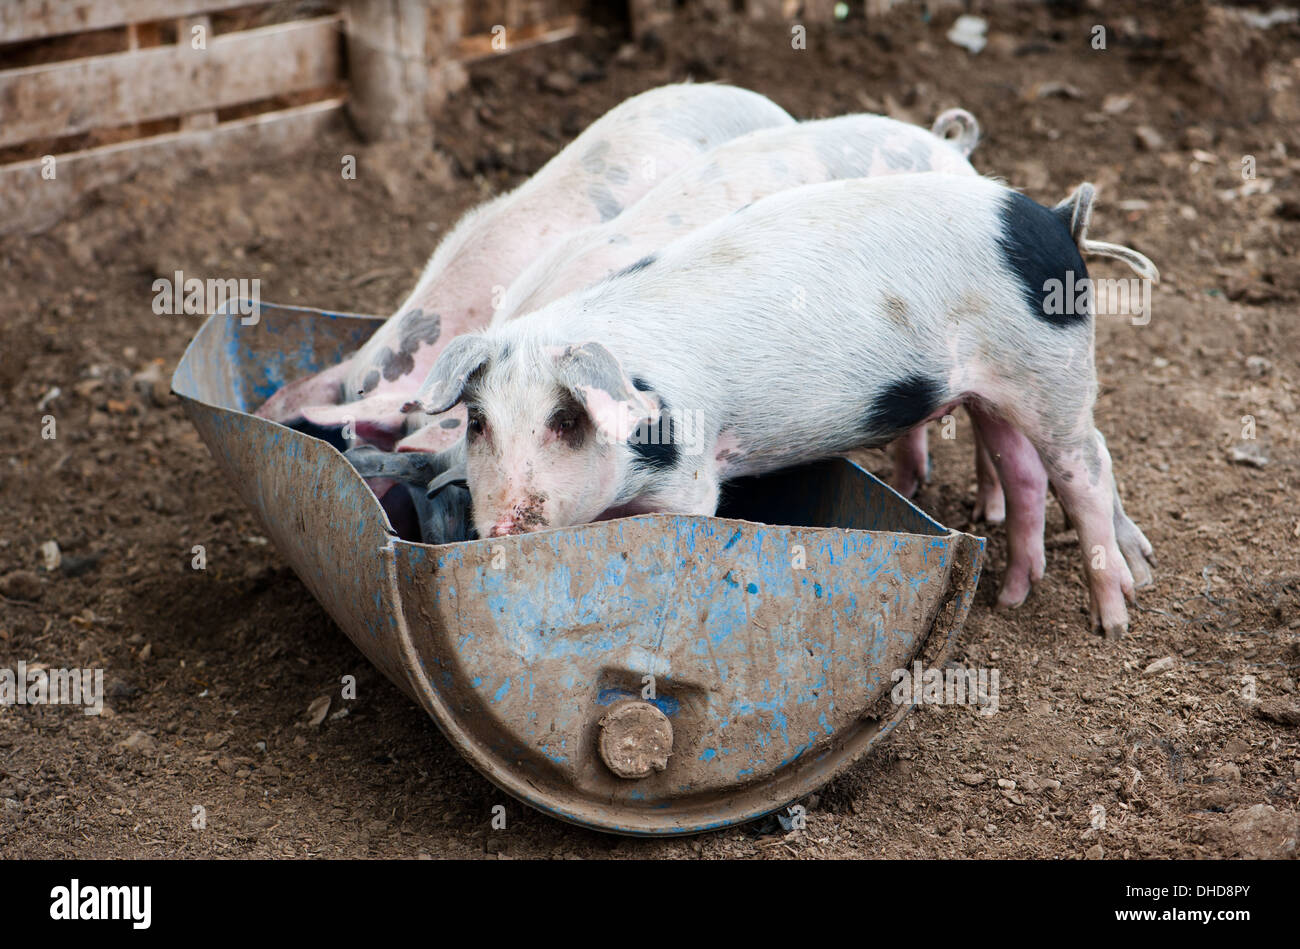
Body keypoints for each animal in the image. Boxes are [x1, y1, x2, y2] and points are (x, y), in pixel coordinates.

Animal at [405, 174, 1159, 637]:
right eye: (478, 423)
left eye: (565, 421)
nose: (500, 531)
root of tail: (1058, 221)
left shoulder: (690, 480)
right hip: (995, 387)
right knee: (1026, 471)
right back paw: (1011, 597)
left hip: (1052, 370)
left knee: (1089, 467)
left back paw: (1113, 619)